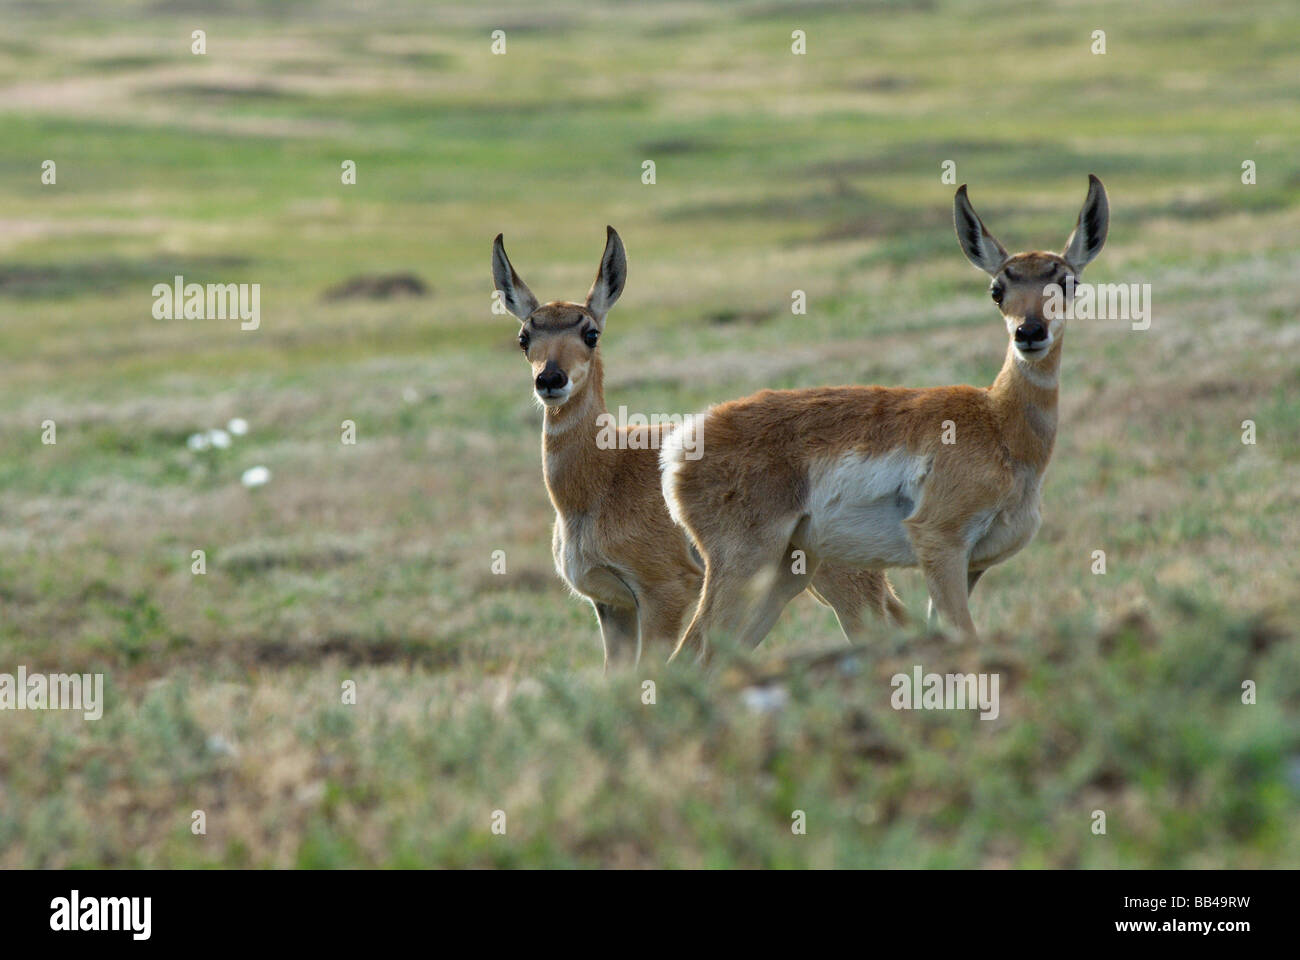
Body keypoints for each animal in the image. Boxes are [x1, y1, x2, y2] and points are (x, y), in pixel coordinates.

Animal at [492, 226, 907, 668]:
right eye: (524, 337)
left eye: (591, 333)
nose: (551, 379)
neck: (607, 473)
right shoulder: (612, 605)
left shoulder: (664, 593)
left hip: (839, 579)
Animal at [661, 176, 1109, 662]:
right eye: (997, 290)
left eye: (1068, 282)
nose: (1029, 332)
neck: (997, 420)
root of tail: (685, 441)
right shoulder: (940, 545)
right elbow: (963, 634)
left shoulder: (971, 566)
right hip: (744, 565)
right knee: (687, 655)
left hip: (784, 576)